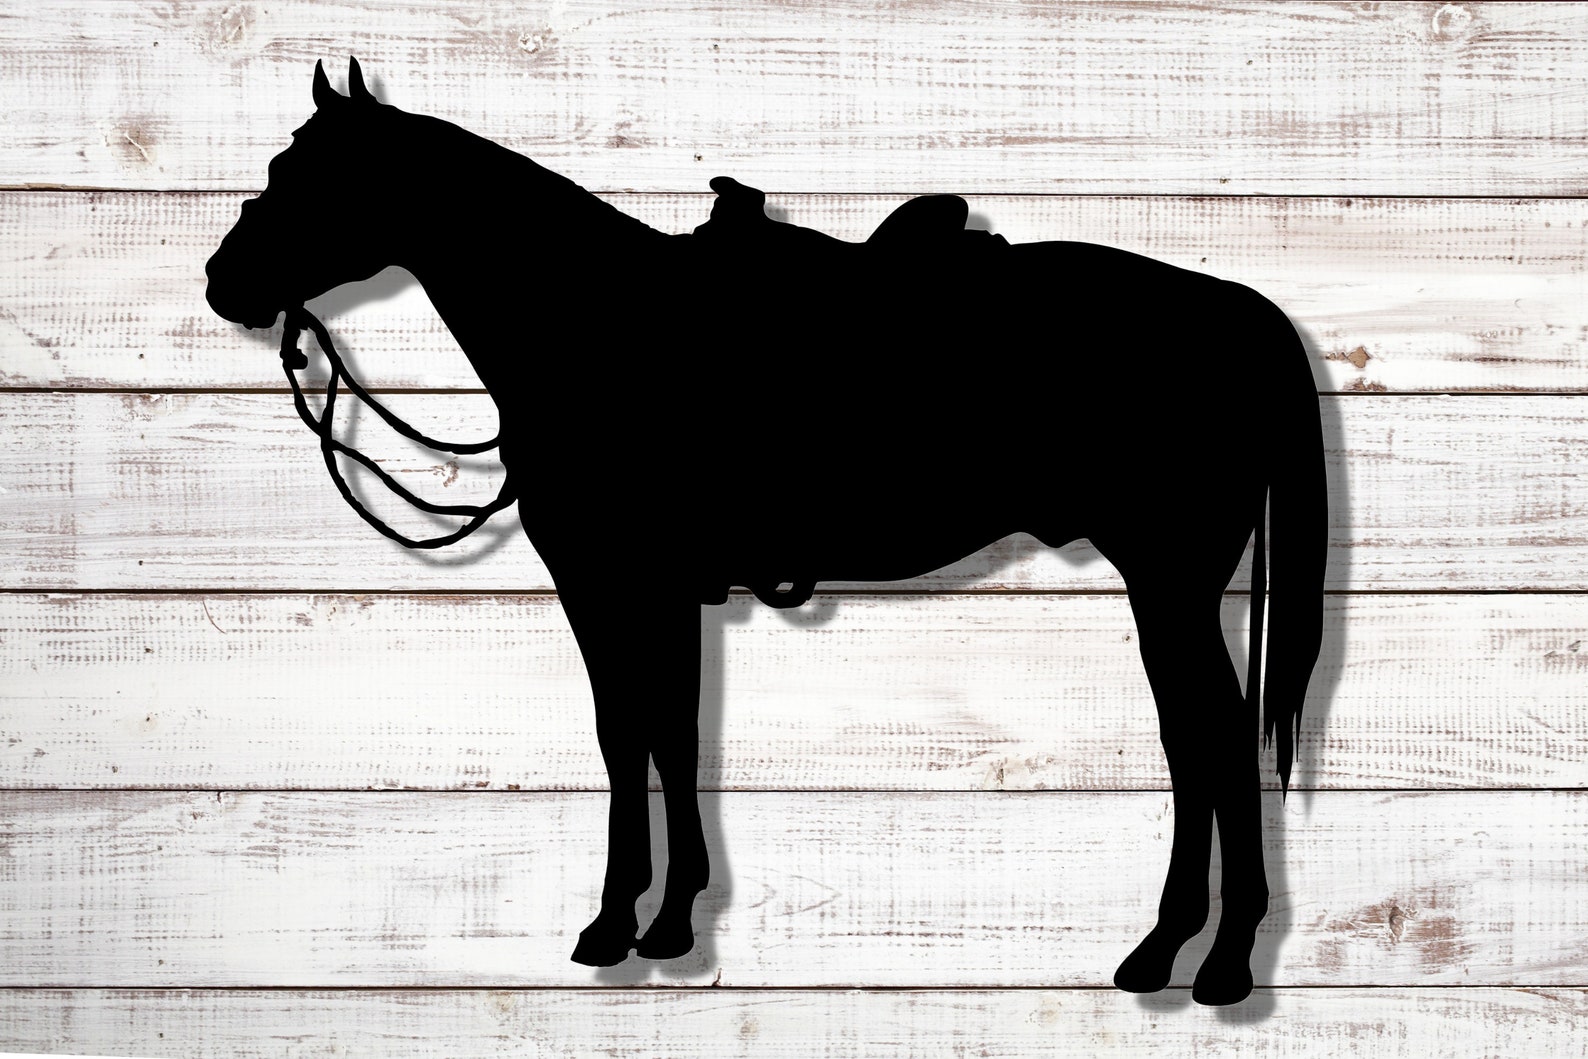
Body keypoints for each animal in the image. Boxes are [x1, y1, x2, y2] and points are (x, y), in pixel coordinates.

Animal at [205, 59, 1327, 1006]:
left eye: (304, 172)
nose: (224, 281)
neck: (594, 328)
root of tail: (1237, 308)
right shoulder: (654, 589)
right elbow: (665, 731)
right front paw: (669, 920)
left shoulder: (613, 581)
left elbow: (629, 733)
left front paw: (619, 923)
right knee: (1192, 739)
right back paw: (1165, 949)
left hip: (1169, 580)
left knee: (1212, 737)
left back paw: (1221, 959)